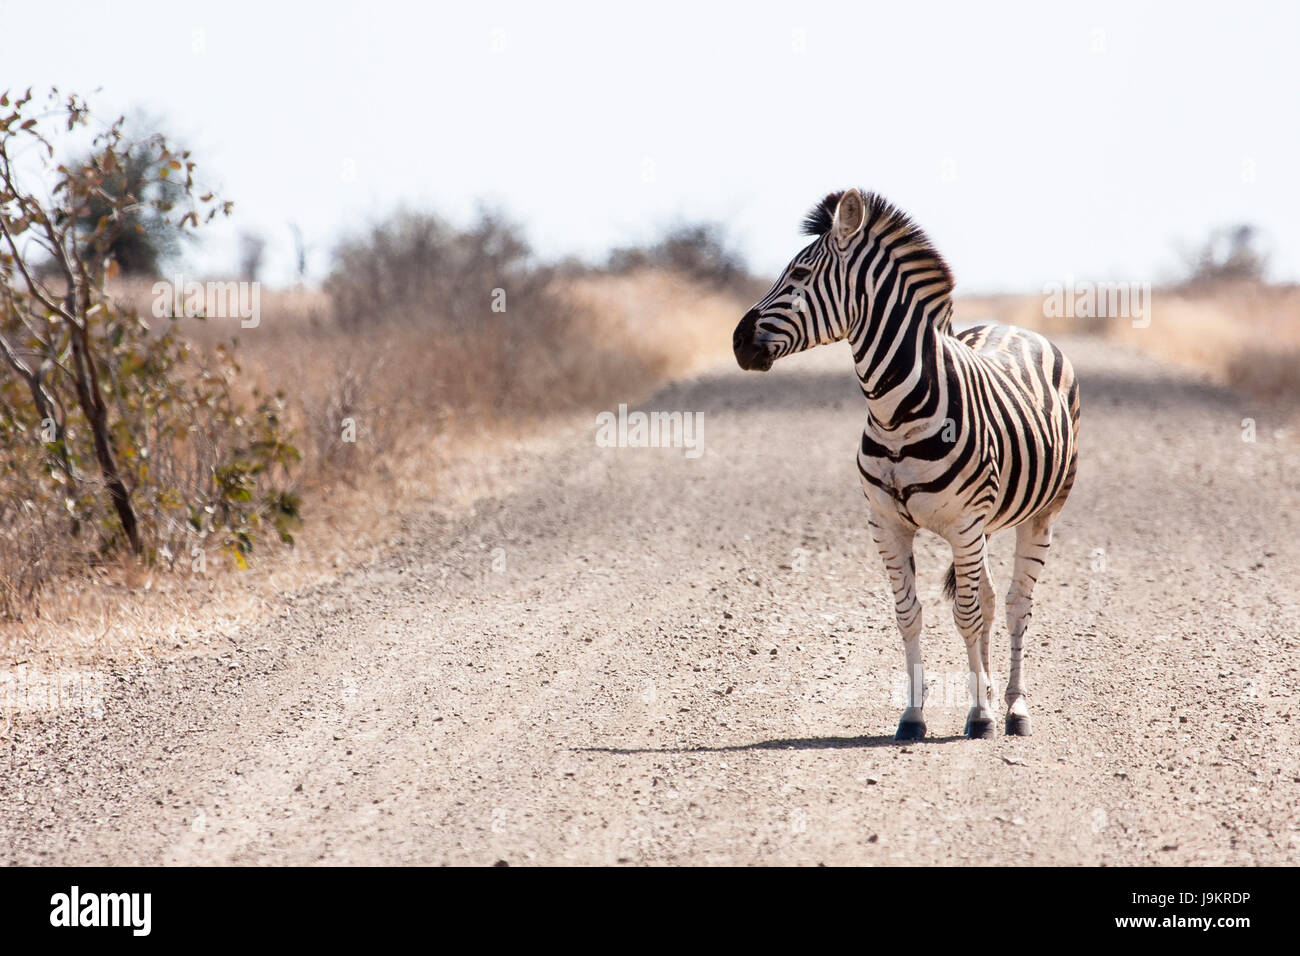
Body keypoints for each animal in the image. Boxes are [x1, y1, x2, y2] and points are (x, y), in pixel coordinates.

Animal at [732, 188, 1080, 740]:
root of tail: (1010, 326)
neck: (896, 413)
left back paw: (1013, 709)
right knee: (986, 598)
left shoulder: (964, 524)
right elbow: (908, 615)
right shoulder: (887, 523)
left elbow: (966, 615)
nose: (737, 342)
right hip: (983, 528)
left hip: (1043, 514)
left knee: (1014, 606)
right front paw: (915, 715)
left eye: (800, 275)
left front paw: (981, 716)